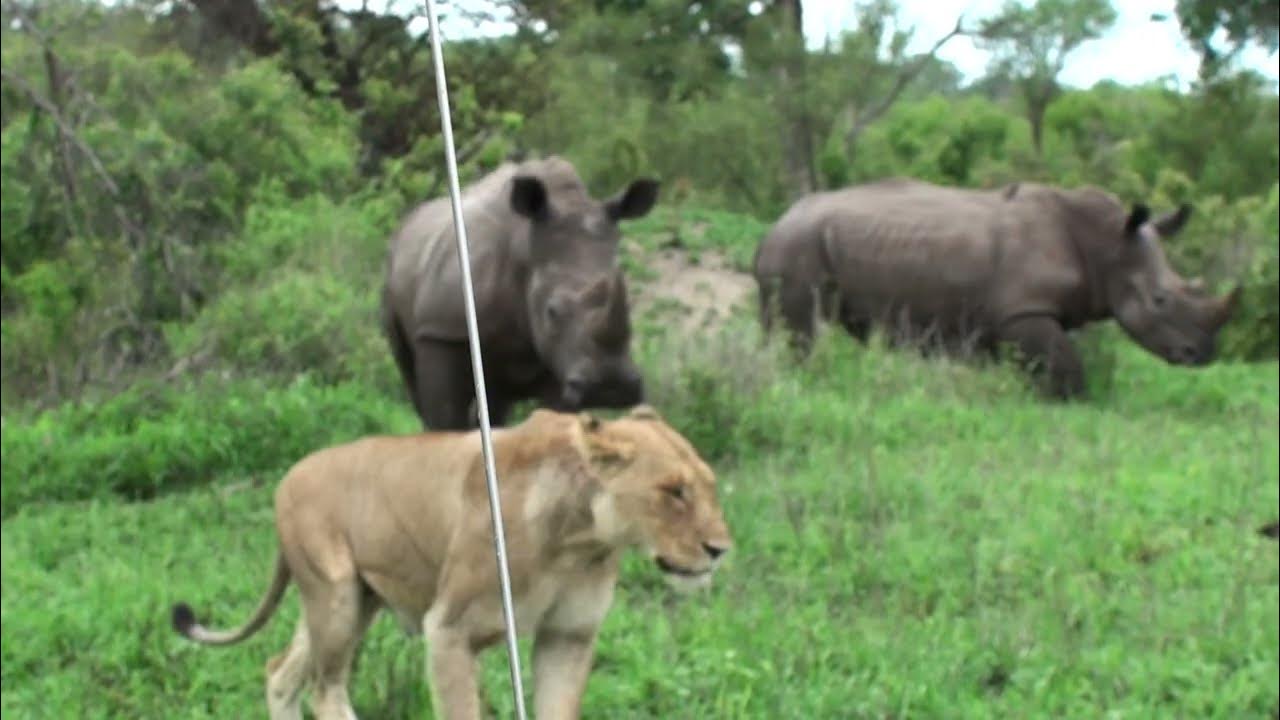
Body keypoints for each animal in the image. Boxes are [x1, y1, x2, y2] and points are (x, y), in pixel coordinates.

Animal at [169, 405, 733, 720]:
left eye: (708, 486)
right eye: (673, 491)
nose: (720, 549)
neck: (579, 541)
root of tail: (288, 475)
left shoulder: (568, 636)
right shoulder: (449, 631)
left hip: (346, 604)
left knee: (280, 674)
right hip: (335, 598)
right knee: (324, 691)